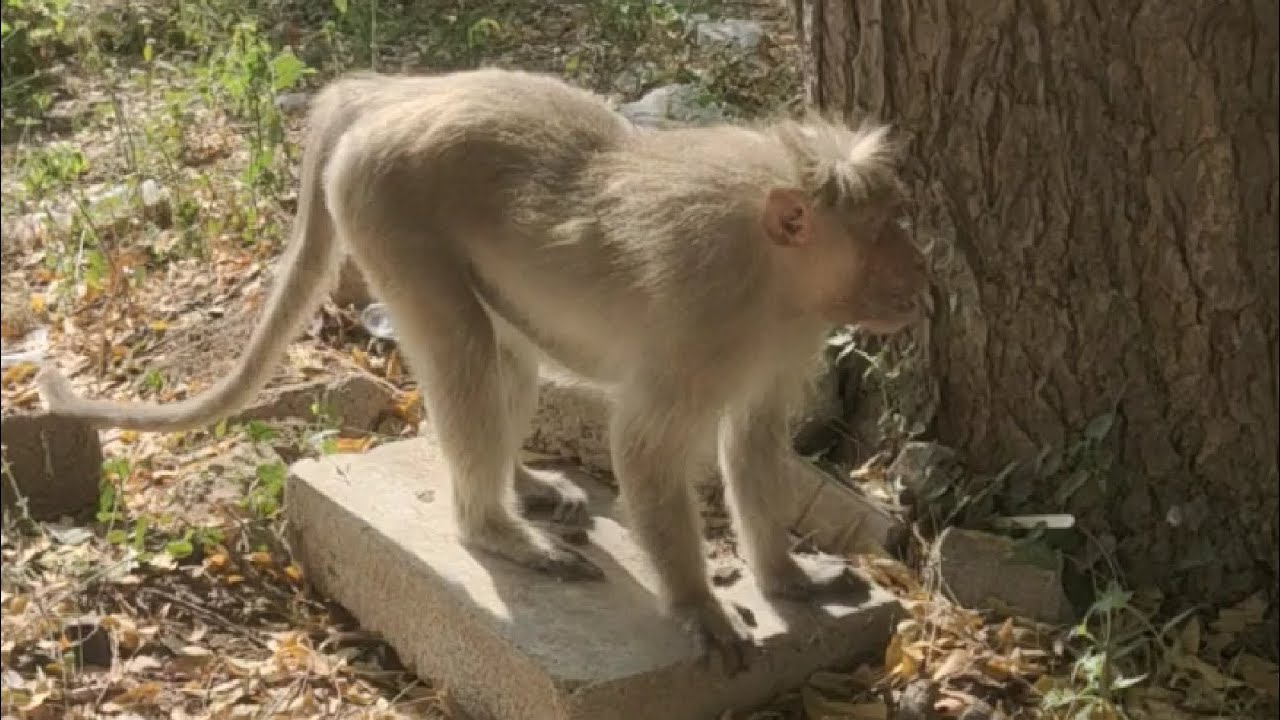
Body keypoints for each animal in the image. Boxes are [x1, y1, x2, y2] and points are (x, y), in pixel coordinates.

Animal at [37, 68, 930, 674]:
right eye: (884, 228)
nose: (919, 263)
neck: (773, 277)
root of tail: (388, 95)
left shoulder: (788, 336)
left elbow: (753, 441)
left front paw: (784, 577)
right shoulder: (699, 320)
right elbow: (644, 449)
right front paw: (700, 608)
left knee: (508, 356)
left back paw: (522, 484)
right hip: (385, 211)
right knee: (464, 350)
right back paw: (495, 528)